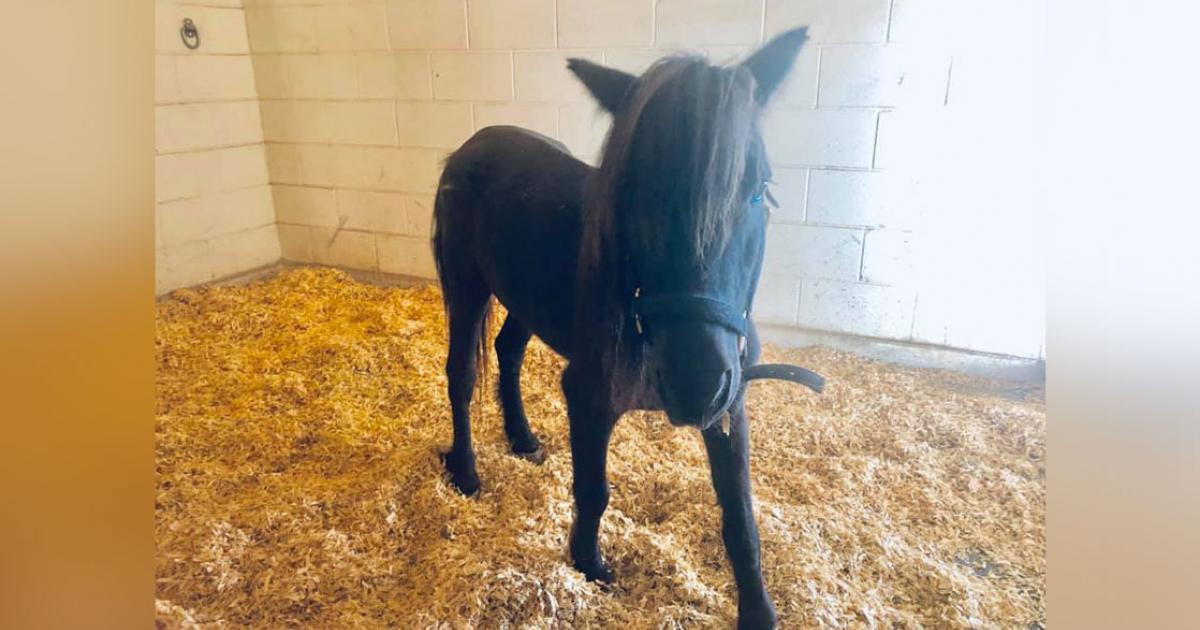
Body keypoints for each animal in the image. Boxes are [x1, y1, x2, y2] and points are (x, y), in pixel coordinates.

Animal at [431, 28, 812, 629]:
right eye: (633, 196)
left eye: (758, 190)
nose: (694, 384)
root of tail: (474, 144)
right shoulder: (589, 394)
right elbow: (594, 489)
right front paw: (589, 565)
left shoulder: (731, 407)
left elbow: (741, 520)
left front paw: (759, 612)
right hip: (466, 286)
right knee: (462, 373)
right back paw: (467, 474)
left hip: (523, 298)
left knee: (508, 350)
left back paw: (522, 438)